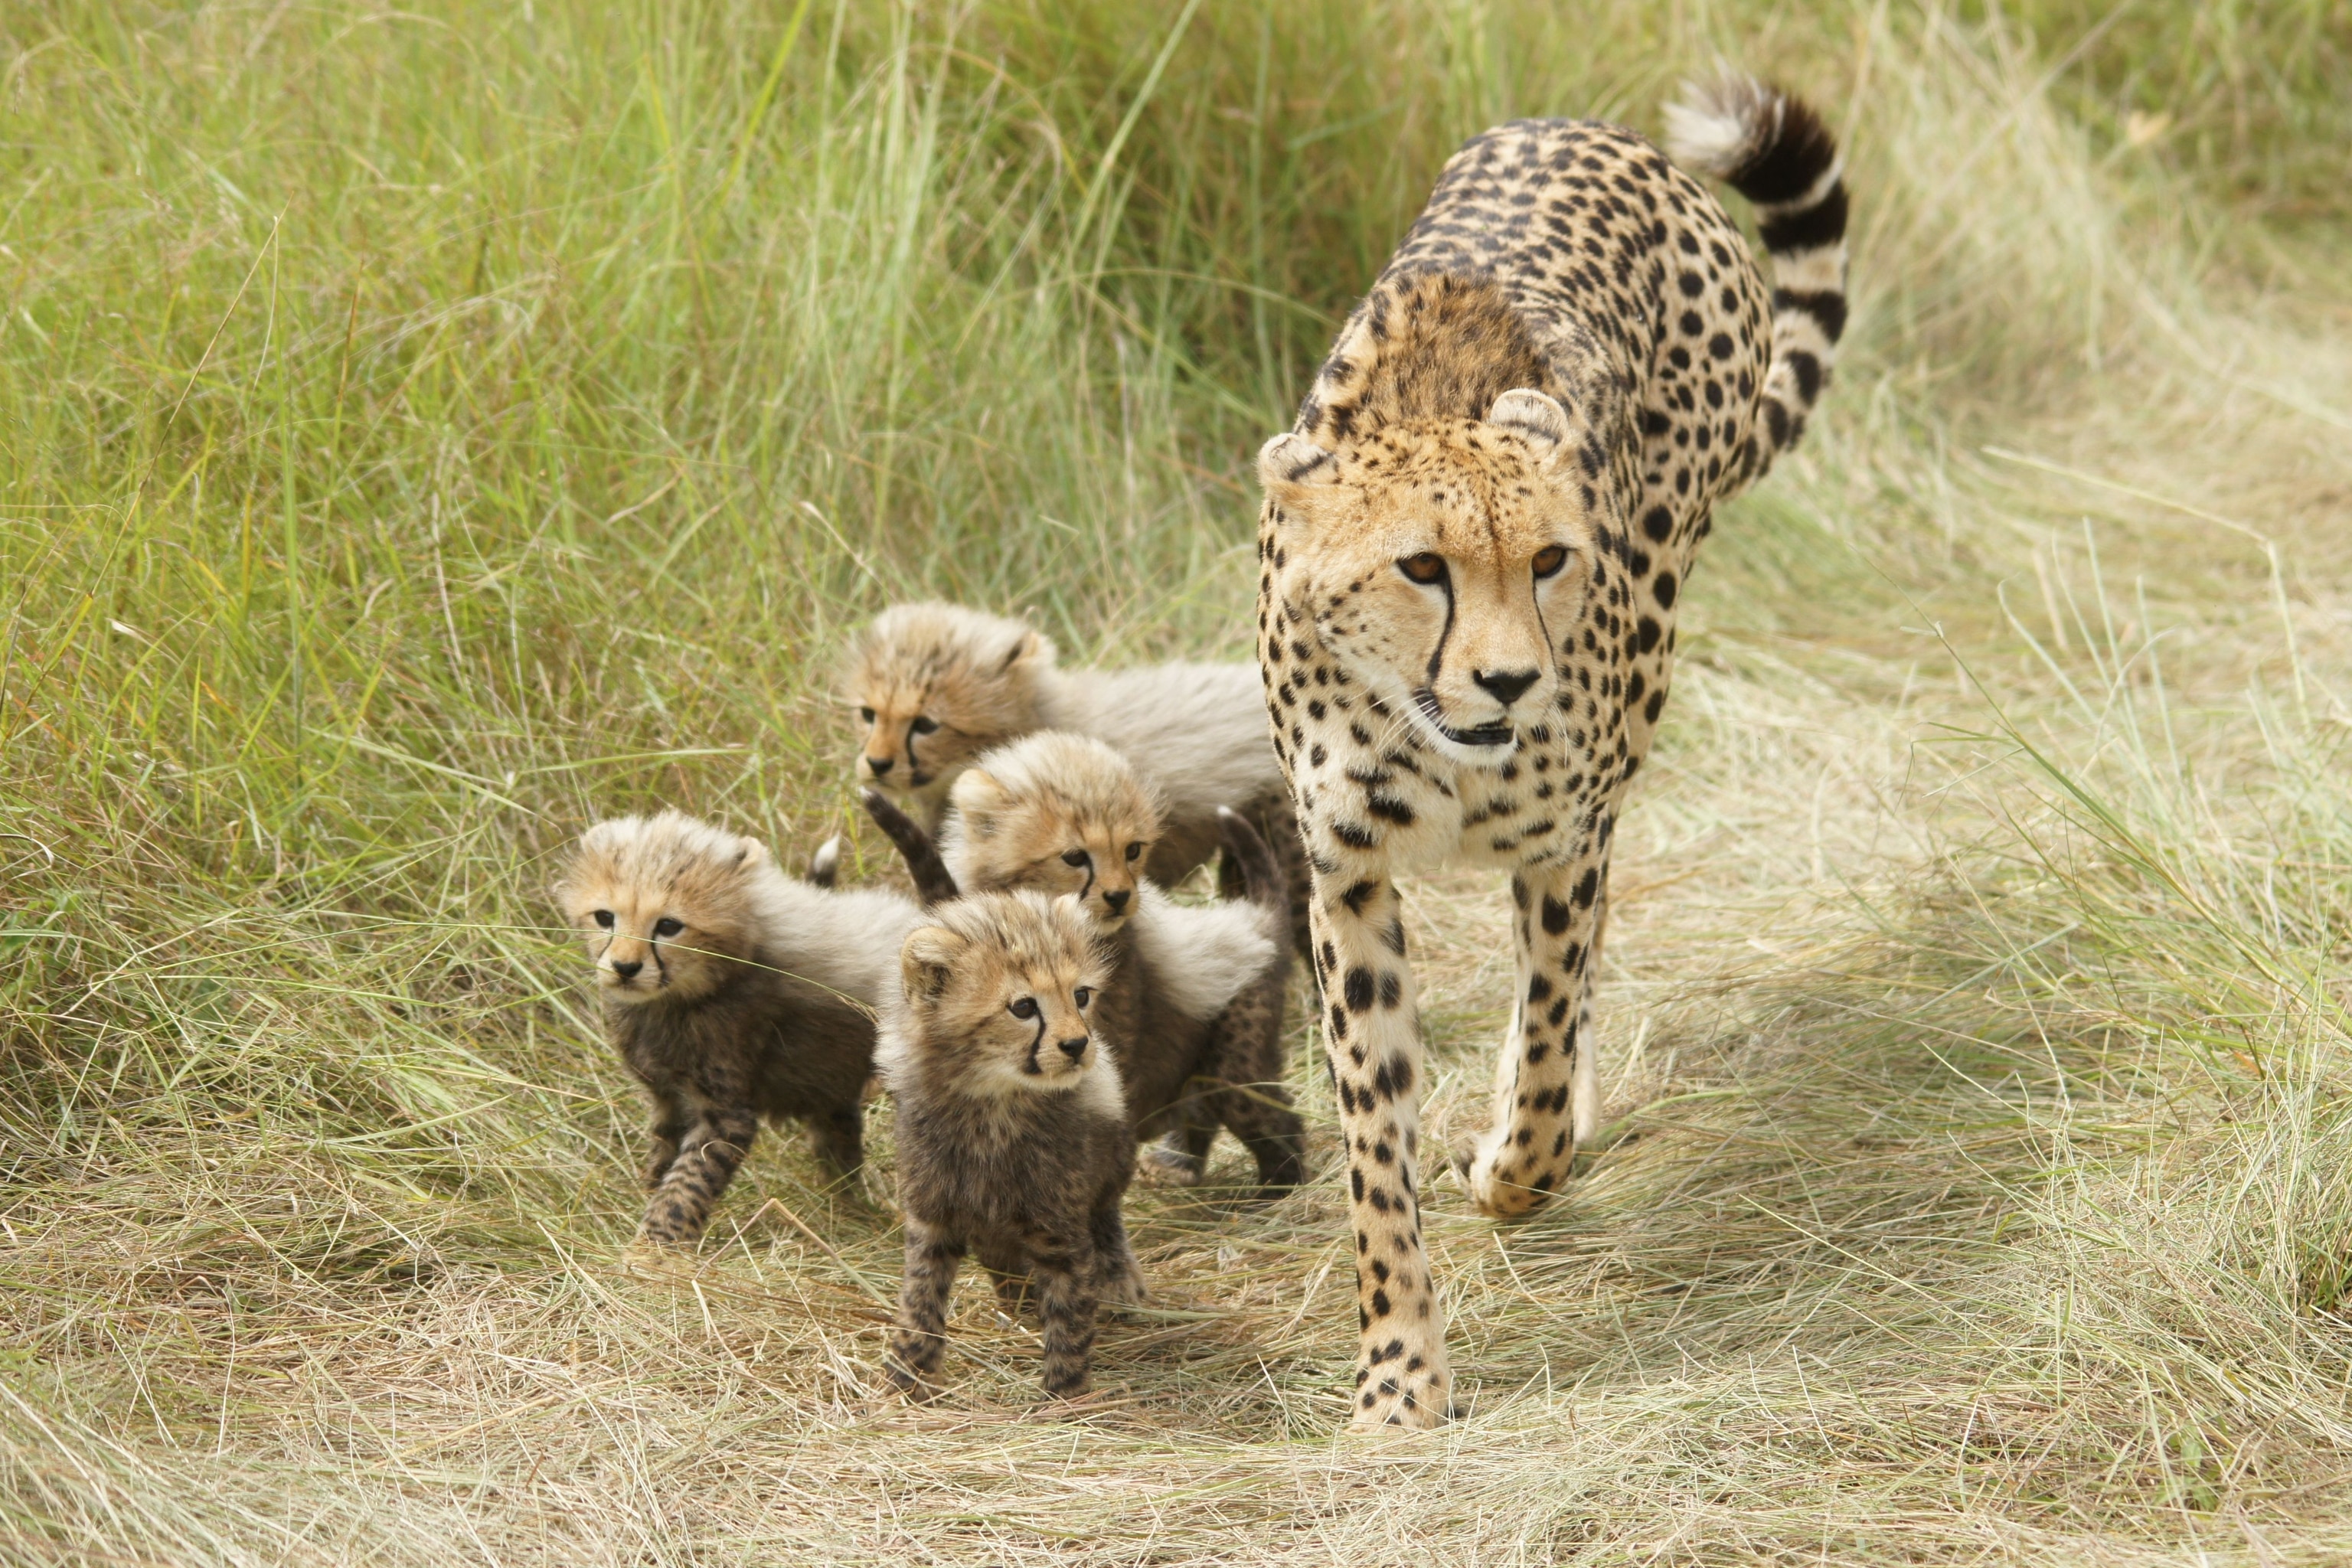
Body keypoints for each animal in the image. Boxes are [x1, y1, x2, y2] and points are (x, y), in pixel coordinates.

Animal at [1249, 75, 1850, 1426]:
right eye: (1422, 567)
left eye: (1549, 560)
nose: (1512, 679)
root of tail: (1588, 129)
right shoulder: (1346, 881)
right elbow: (1374, 1147)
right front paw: (1399, 1380)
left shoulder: (1560, 844)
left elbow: (1543, 1041)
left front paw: (1518, 1169)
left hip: (1648, 674)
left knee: (1563, 974)